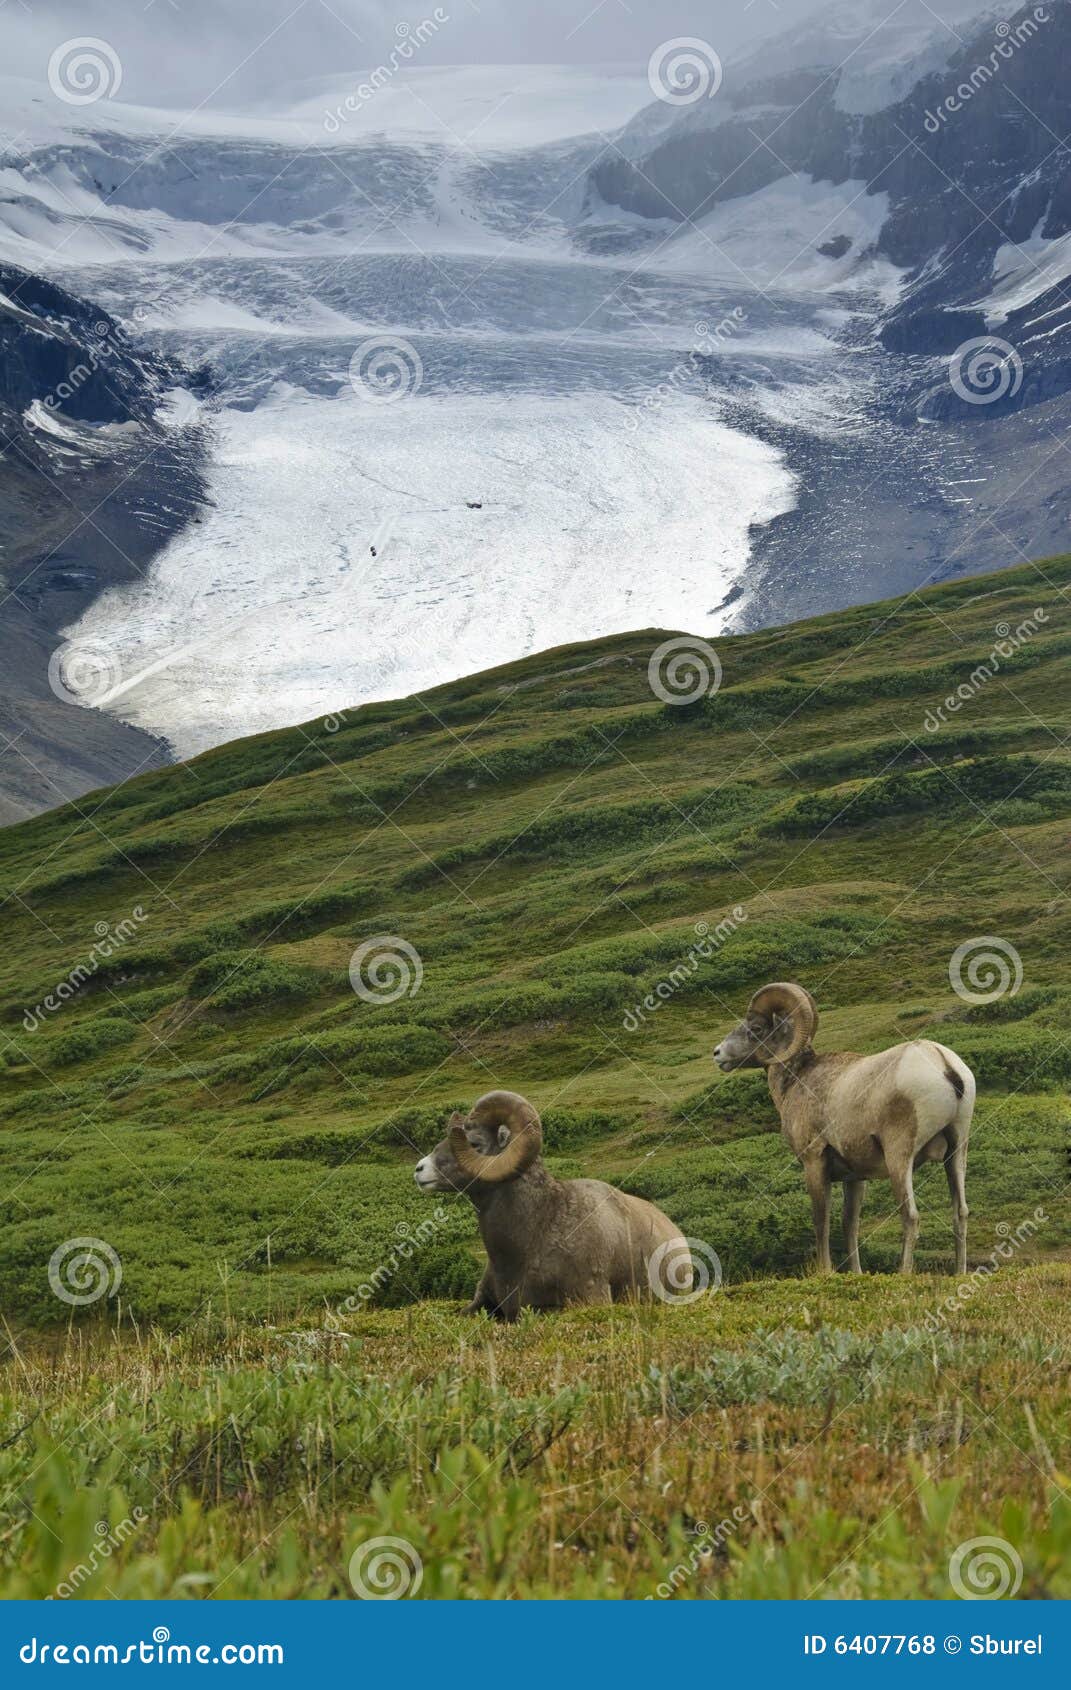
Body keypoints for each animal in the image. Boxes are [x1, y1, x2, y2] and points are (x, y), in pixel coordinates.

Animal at [712, 982, 975, 1275]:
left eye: (756, 1028)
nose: (718, 1053)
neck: (797, 1081)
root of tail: (944, 1065)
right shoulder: (855, 1177)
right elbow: (850, 1225)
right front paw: (857, 1273)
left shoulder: (814, 1162)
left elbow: (821, 1220)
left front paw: (824, 1271)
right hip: (957, 1150)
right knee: (960, 1213)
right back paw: (959, 1272)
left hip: (899, 1157)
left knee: (911, 1216)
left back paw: (903, 1273)